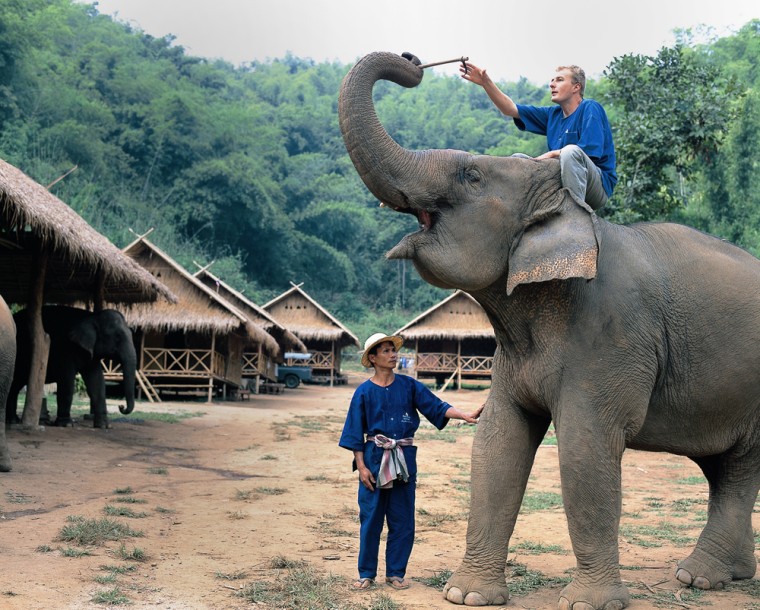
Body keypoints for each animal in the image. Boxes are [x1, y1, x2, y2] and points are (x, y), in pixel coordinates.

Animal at [7, 306, 137, 429]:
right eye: (118, 337)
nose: (121, 406)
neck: (91, 316)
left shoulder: (91, 354)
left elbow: (97, 383)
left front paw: (105, 426)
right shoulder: (65, 349)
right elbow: (67, 382)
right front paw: (66, 424)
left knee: (15, 386)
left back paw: (13, 420)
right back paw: (12, 421)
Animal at [338, 51, 760, 609]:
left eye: (472, 175)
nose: (412, 62)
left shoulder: (611, 336)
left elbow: (585, 448)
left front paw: (588, 603)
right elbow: (497, 441)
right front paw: (467, 595)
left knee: (738, 470)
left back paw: (699, 577)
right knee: (725, 466)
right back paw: (728, 575)